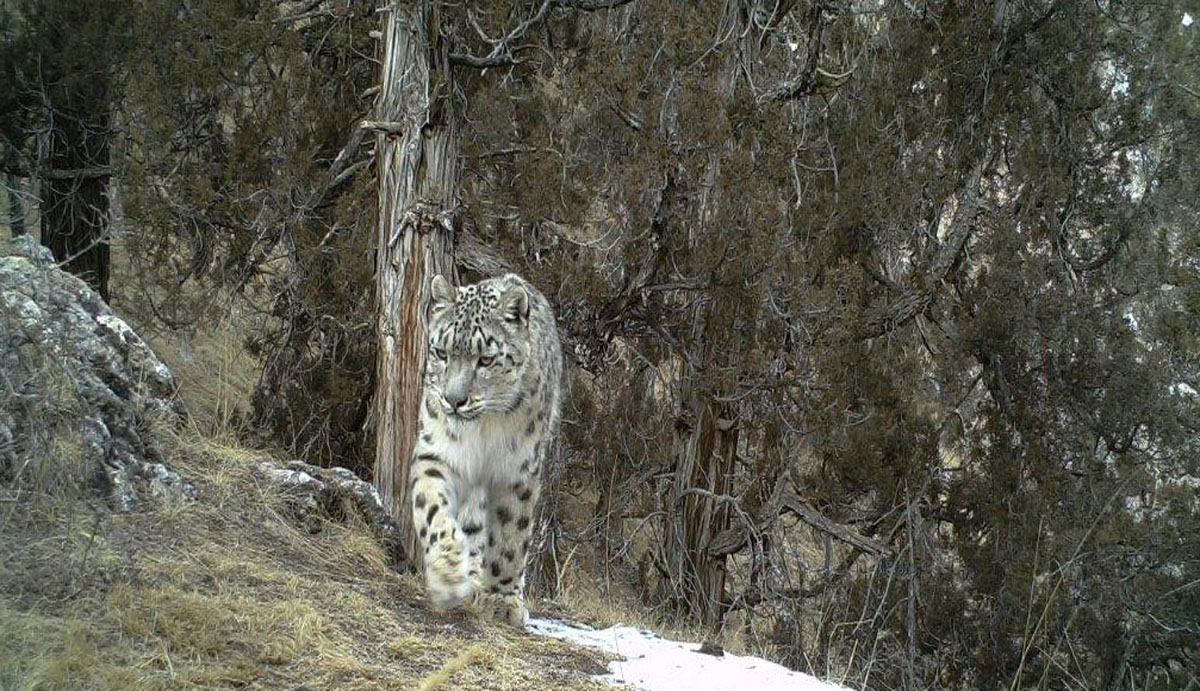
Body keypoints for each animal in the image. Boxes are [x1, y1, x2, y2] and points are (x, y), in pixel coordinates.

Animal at [409, 272, 563, 628]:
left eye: (486, 359)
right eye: (441, 352)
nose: (453, 400)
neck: (482, 431)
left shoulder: (517, 471)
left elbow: (510, 536)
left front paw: (503, 599)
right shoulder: (438, 455)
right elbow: (431, 507)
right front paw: (448, 571)